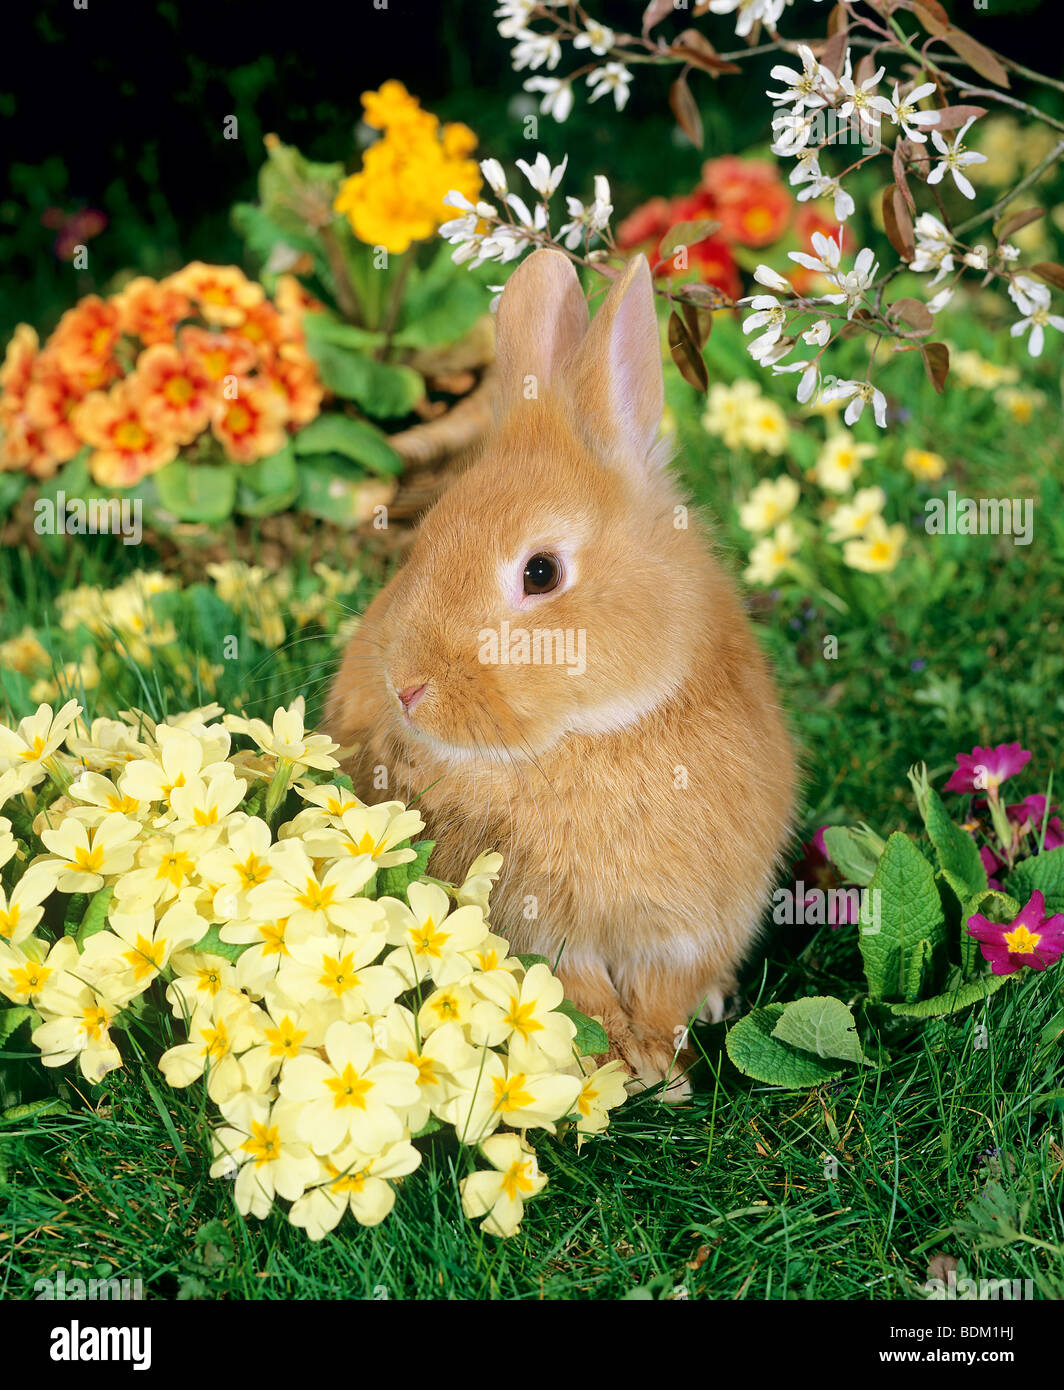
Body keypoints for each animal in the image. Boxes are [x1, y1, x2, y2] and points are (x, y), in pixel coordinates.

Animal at [324, 248, 796, 1097]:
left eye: (540, 572)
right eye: (426, 539)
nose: (407, 689)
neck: (594, 734)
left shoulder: (689, 925)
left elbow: (666, 989)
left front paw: (663, 1064)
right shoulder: (536, 926)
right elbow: (575, 992)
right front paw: (621, 1068)